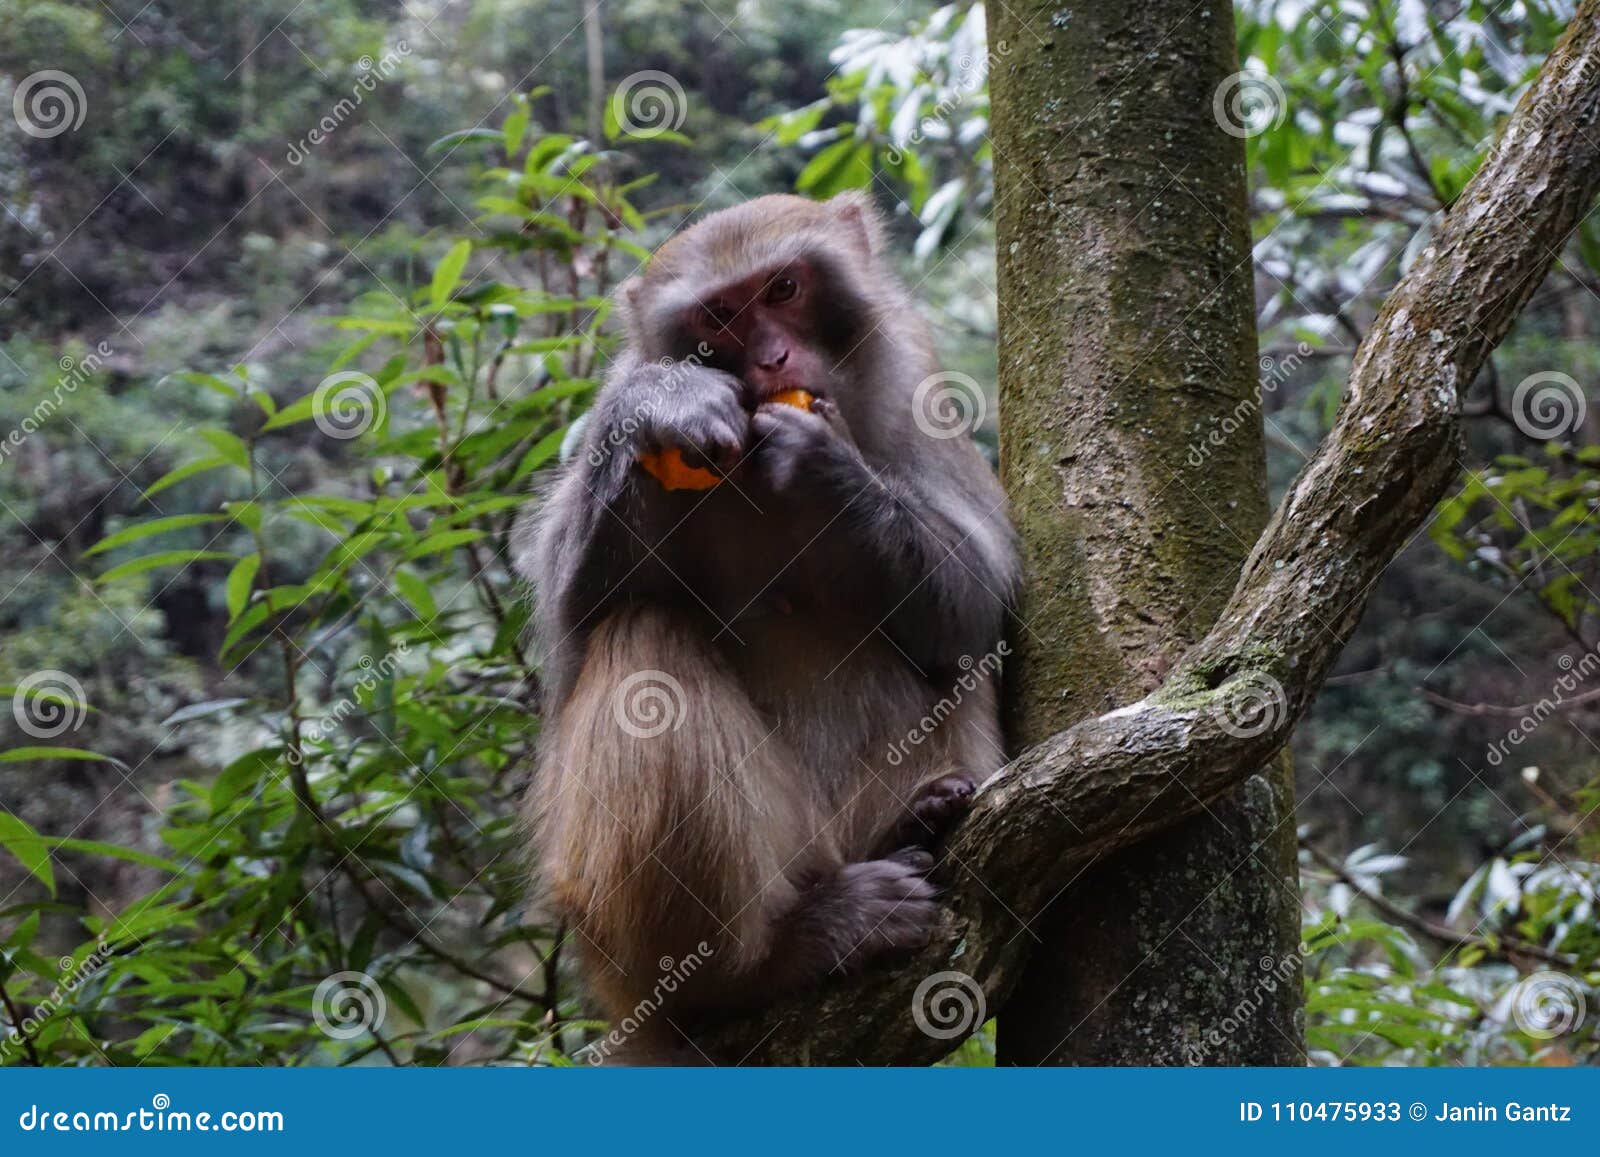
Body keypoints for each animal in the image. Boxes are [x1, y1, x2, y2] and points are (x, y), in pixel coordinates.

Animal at [513, 191, 1019, 1061]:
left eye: (784, 288)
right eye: (721, 313)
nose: (776, 360)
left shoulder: (911, 379)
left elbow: (977, 611)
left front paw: (830, 475)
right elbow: (572, 625)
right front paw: (660, 401)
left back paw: (920, 817)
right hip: (629, 927)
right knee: (645, 639)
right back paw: (764, 961)